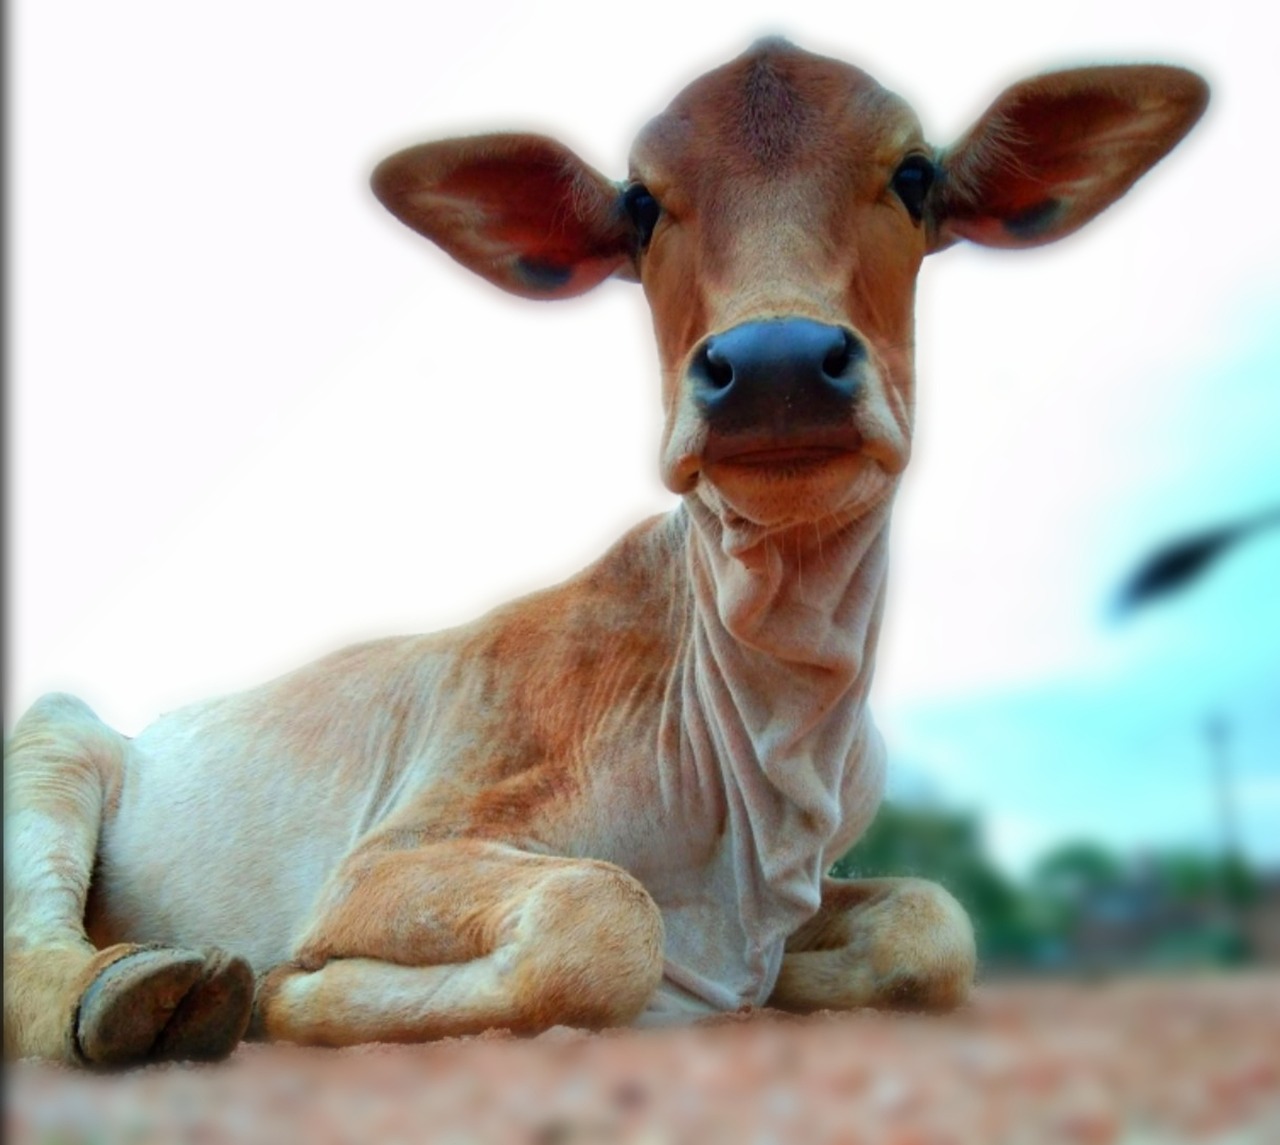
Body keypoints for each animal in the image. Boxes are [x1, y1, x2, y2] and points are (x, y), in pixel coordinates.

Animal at [4, 38, 1208, 1066]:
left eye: (914, 175)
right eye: (639, 202)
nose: (775, 362)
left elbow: (933, 923)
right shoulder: (384, 859)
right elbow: (603, 918)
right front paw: (295, 994)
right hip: (52, 740)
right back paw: (140, 994)